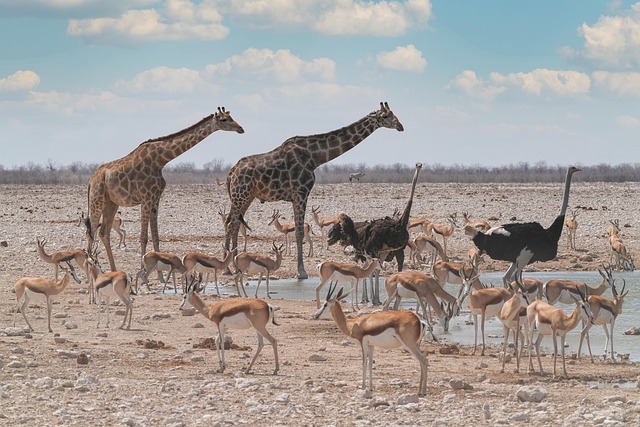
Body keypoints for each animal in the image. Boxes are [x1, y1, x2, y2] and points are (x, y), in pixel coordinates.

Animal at [86, 107, 244, 272]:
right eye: (224, 119)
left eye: (231, 116)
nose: (241, 129)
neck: (160, 160)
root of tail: (91, 179)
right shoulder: (146, 197)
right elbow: (143, 237)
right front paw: (142, 269)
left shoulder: (155, 198)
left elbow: (155, 236)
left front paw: (159, 266)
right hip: (97, 200)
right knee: (91, 231)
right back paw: (91, 268)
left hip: (111, 203)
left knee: (103, 233)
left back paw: (113, 269)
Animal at [225, 102, 404, 279]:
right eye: (385, 116)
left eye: (393, 113)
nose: (400, 126)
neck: (314, 157)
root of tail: (231, 173)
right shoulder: (301, 192)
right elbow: (299, 232)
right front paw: (301, 272)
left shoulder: (298, 195)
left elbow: (299, 231)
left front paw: (301, 270)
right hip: (240, 195)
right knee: (230, 223)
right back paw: (228, 267)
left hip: (247, 197)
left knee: (233, 223)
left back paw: (233, 266)